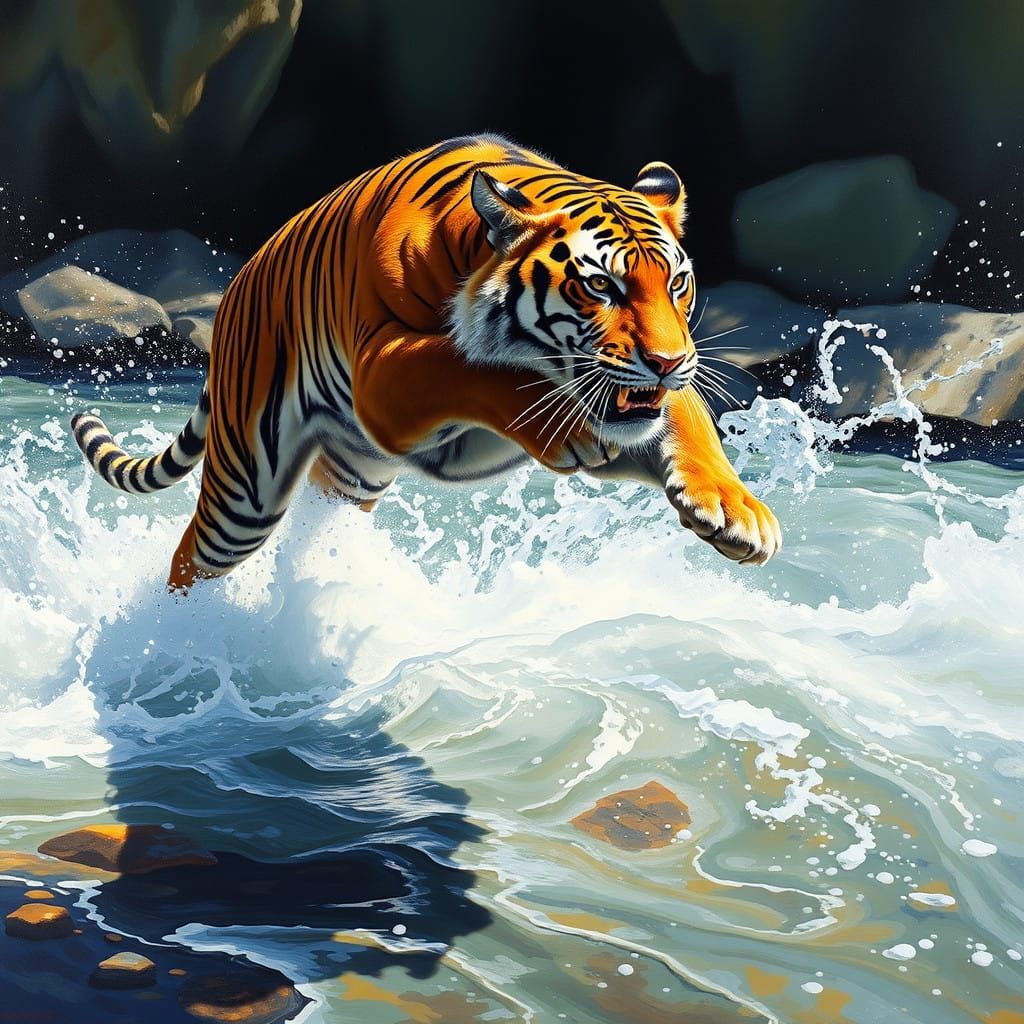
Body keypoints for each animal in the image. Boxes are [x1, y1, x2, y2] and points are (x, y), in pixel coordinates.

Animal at [70, 135, 781, 593]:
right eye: (601, 286)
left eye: (677, 284)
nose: (667, 360)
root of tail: (243, 274)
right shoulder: (383, 373)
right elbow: (466, 366)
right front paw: (565, 427)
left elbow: (685, 414)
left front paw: (736, 511)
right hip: (245, 487)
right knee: (193, 556)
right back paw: (178, 633)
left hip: (352, 473)